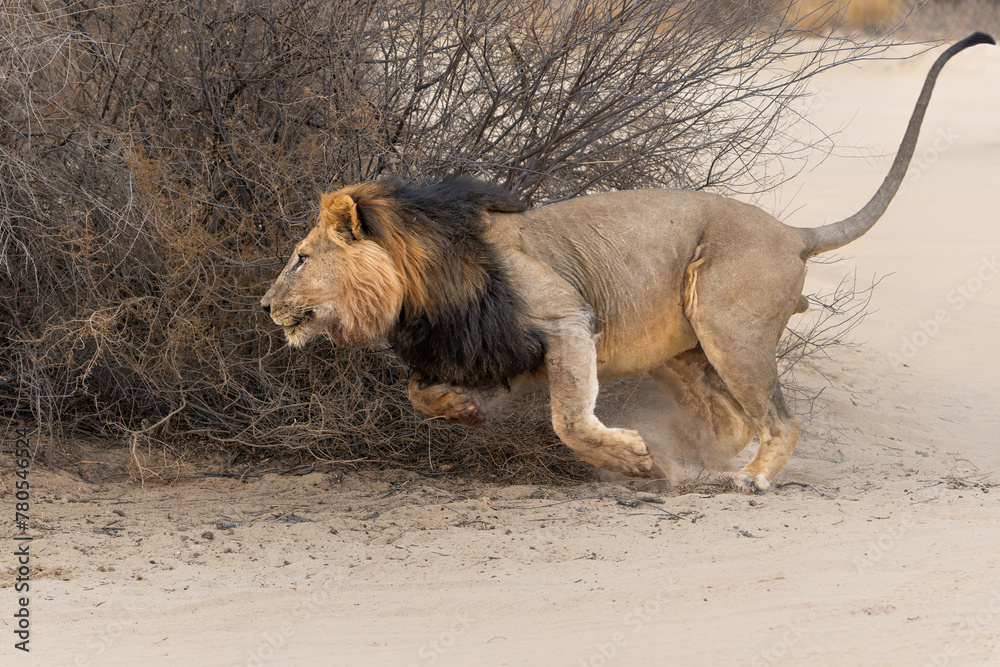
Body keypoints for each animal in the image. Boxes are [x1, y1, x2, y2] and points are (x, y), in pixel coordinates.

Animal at [261, 33, 994, 493]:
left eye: (299, 258)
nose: (265, 305)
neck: (415, 286)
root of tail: (791, 231)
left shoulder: (565, 318)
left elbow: (569, 419)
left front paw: (638, 461)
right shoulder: (463, 345)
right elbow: (417, 392)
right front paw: (462, 412)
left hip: (730, 327)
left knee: (779, 419)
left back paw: (751, 476)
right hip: (680, 349)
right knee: (733, 419)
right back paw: (705, 460)